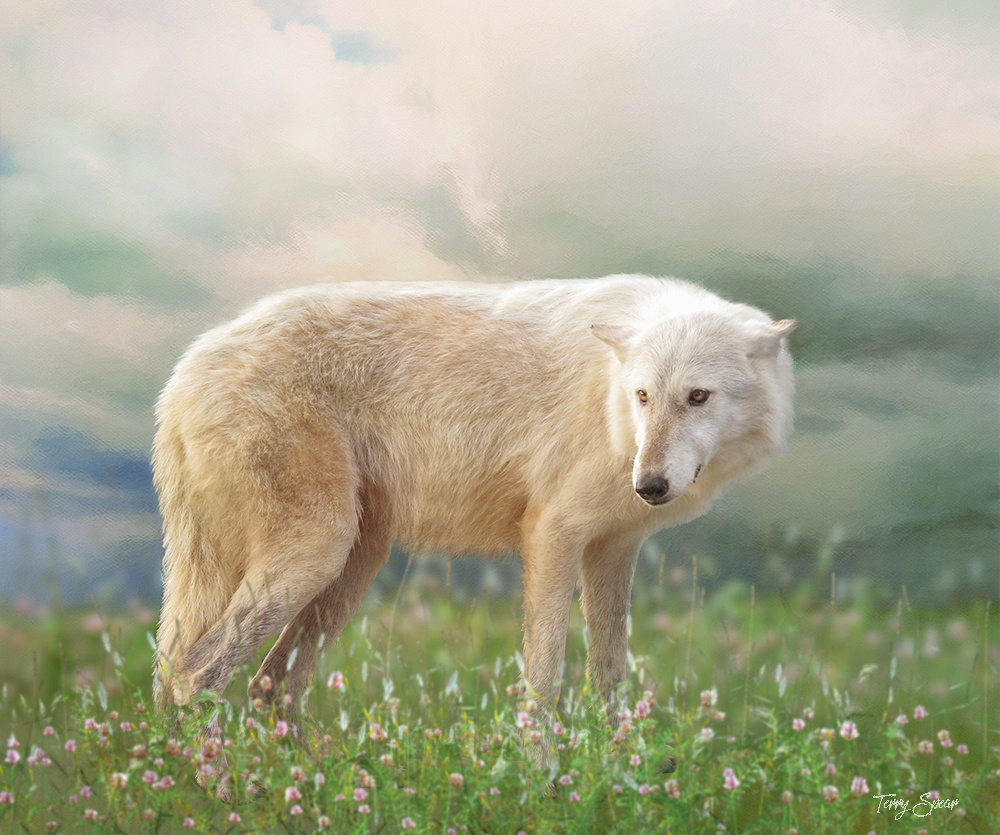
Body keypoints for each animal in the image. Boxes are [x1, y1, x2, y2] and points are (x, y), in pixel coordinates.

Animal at [152, 275, 795, 757]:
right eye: (643, 397)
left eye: (697, 397)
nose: (650, 485)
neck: (608, 400)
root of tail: (183, 370)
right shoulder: (553, 537)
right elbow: (544, 682)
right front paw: (545, 784)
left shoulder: (614, 550)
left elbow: (608, 682)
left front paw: (619, 778)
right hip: (317, 554)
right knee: (196, 672)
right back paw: (223, 788)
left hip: (348, 568)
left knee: (269, 686)